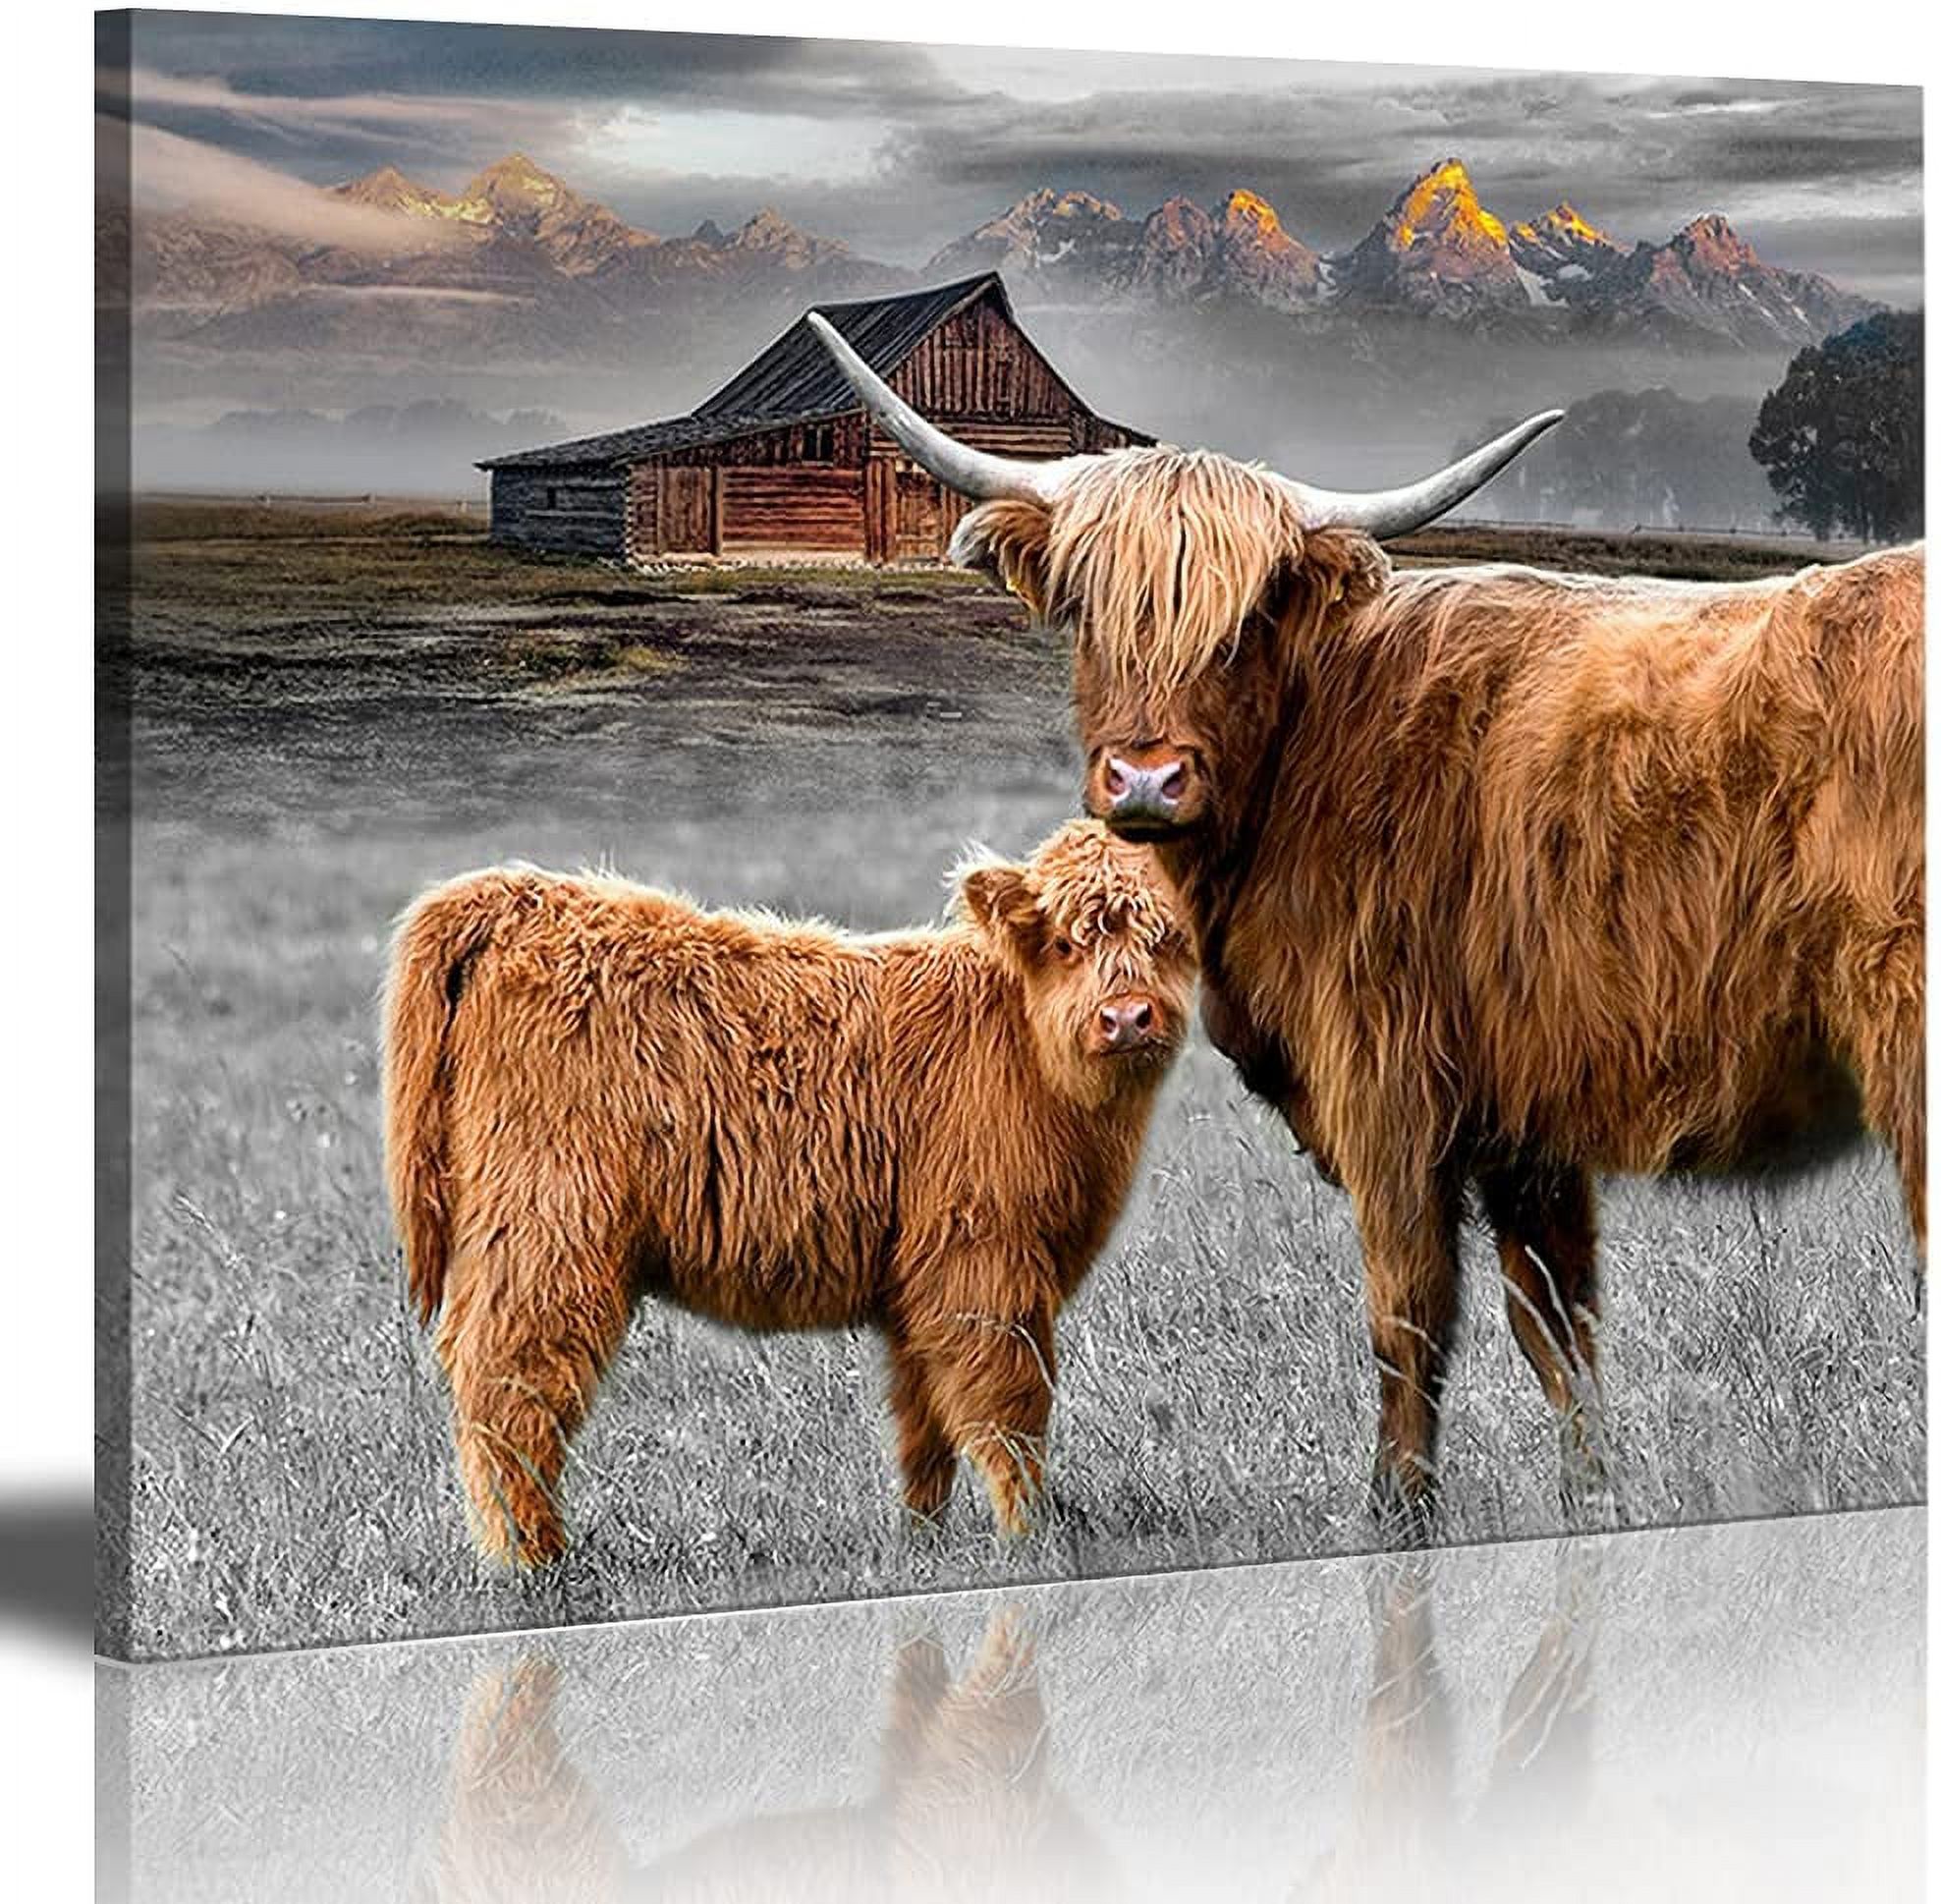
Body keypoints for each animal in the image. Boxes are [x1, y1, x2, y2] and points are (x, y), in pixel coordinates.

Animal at [383, 820, 1194, 1564]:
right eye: (1067, 943)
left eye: (1170, 937)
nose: (1127, 1017)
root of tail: (525, 894)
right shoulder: (981, 1261)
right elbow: (1010, 1405)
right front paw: (1030, 1539)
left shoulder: (920, 1285)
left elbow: (923, 1421)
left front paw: (921, 1544)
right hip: (551, 1227)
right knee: (508, 1386)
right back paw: (536, 1561)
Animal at [810, 312, 1924, 1526]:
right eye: (1084, 606)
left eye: (1247, 619)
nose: (1145, 780)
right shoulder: (1522, 1121)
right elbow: (1557, 1322)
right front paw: (1591, 1500)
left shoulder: (1387, 1085)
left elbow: (1409, 1311)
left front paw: (1397, 1509)